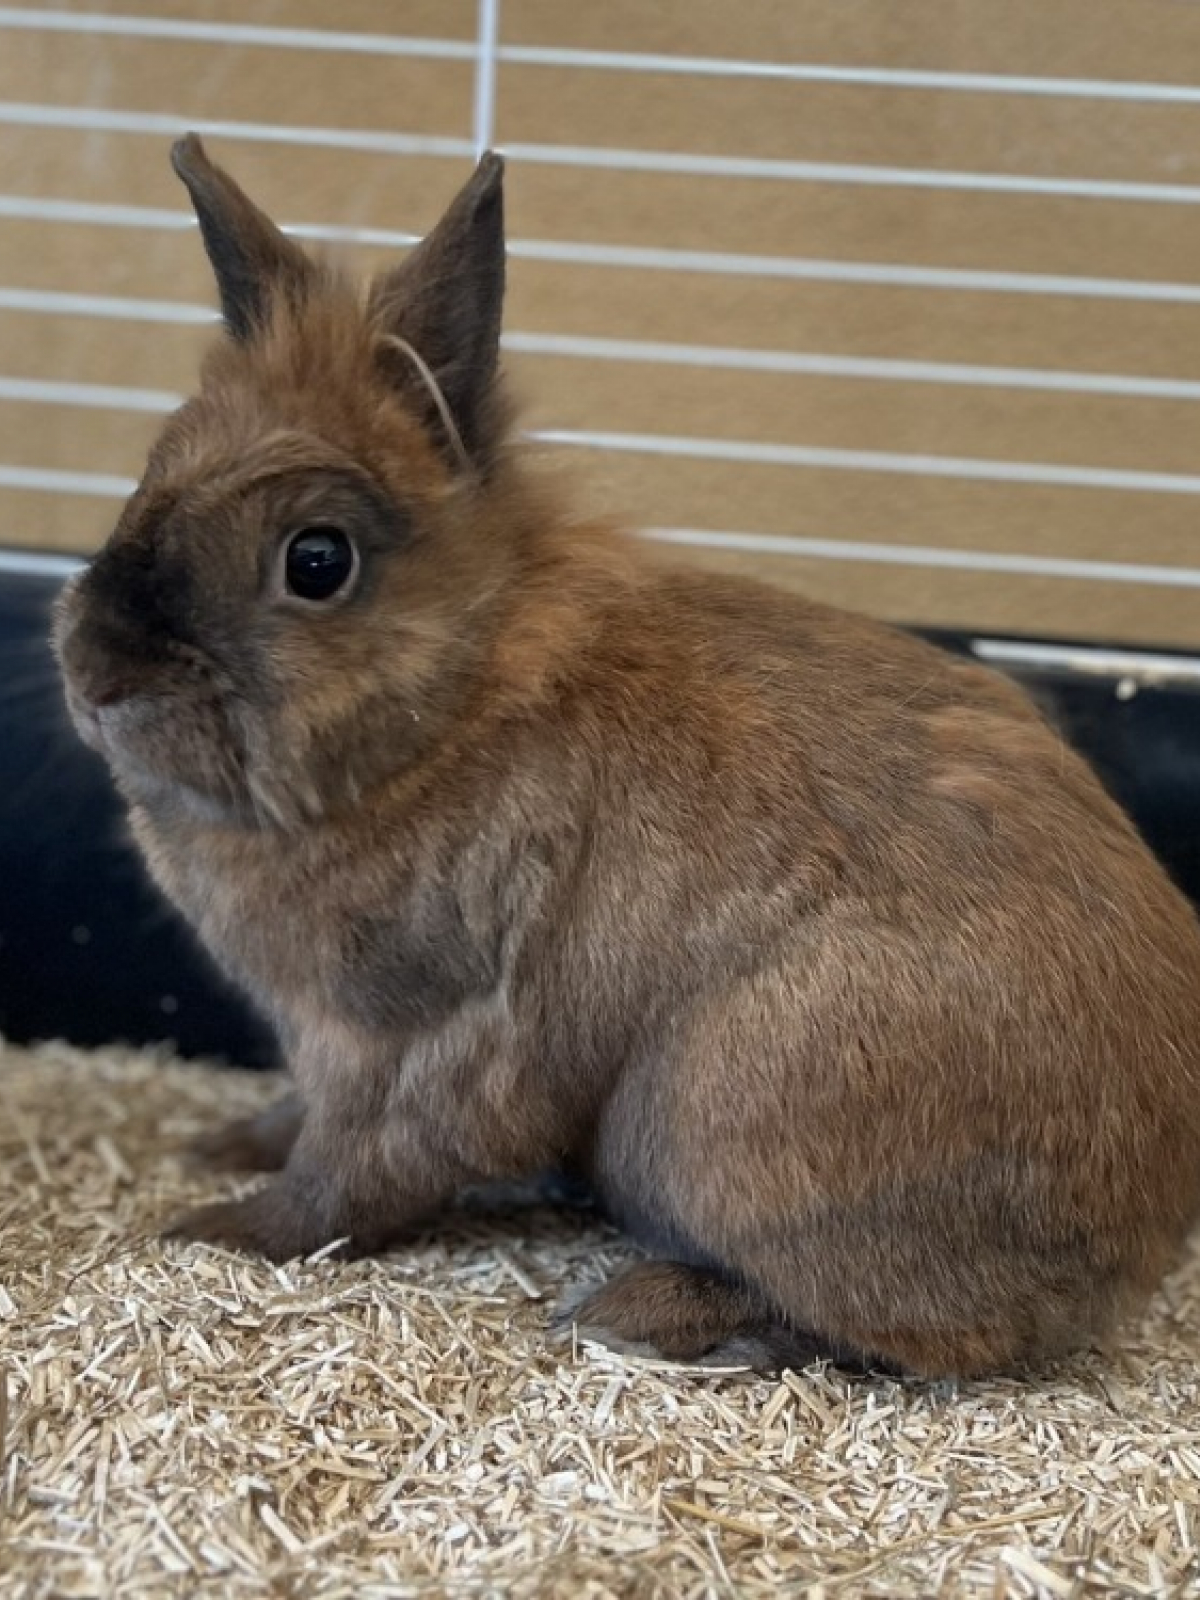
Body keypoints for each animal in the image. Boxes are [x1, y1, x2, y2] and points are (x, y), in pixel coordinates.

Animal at [53, 134, 1200, 1378]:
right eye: (151, 470)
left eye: (317, 561)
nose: (95, 672)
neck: (453, 703)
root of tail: (1141, 1232)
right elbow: (296, 1123)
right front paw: (216, 1146)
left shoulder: (425, 1041)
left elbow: (352, 1173)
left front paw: (214, 1229)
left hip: (729, 1128)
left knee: (896, 1331)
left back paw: (644, 1309)